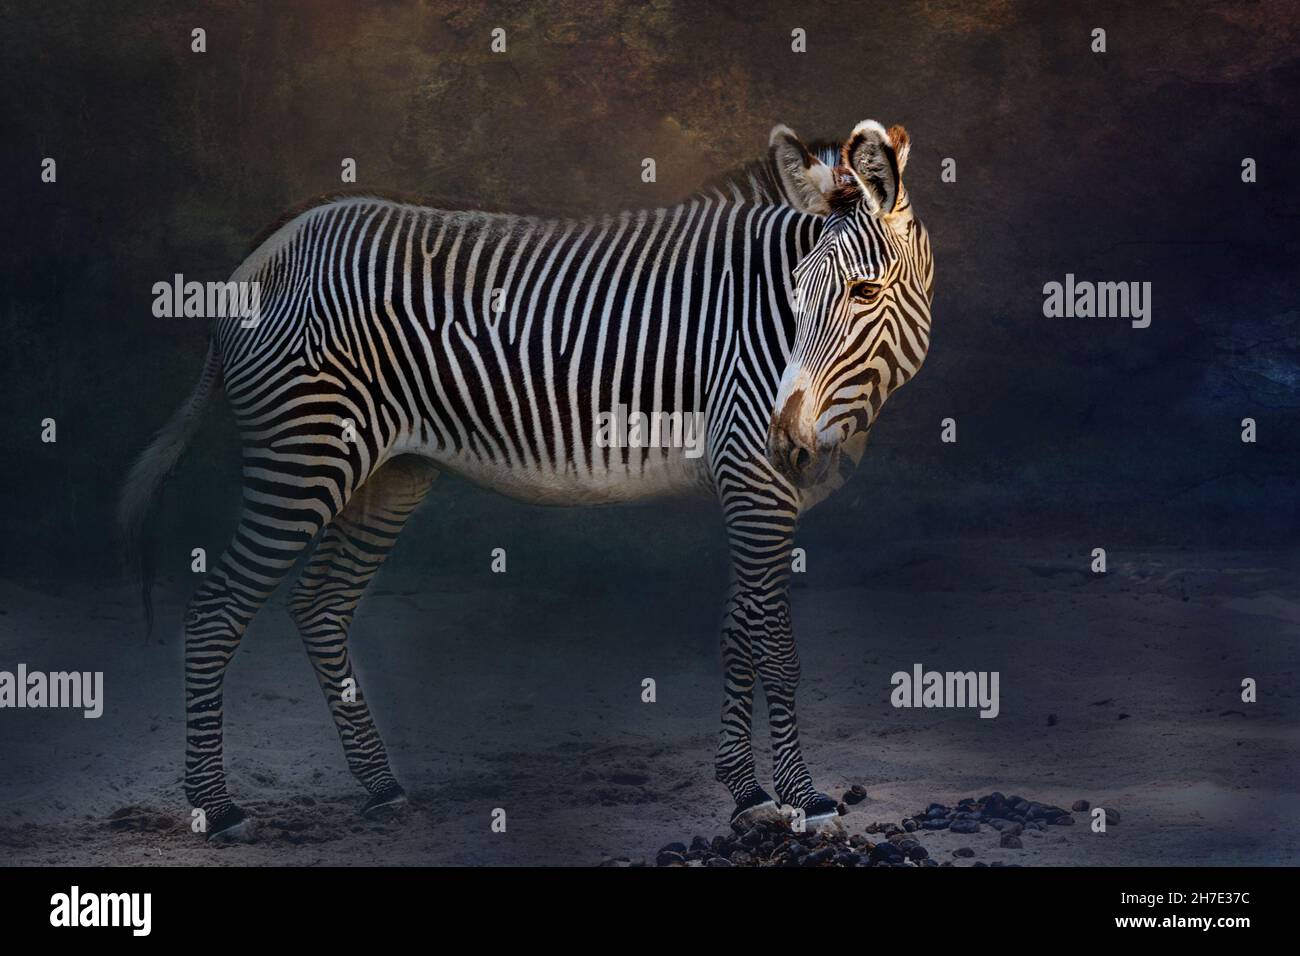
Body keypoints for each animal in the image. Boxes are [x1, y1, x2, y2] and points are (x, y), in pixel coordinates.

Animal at [118, 119, 933, 843]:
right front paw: (805, 799)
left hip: (388, 472)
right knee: (215, 610)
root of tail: (265, 251)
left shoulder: (752, 486)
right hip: (305, 454)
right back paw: (215, 807)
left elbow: (740, 633)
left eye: (863, 293)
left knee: (319, 608)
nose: (788, 438)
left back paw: (380, 788)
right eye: (796, 294)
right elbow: (777, 647)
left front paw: (747, 793)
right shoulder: (753, 474)